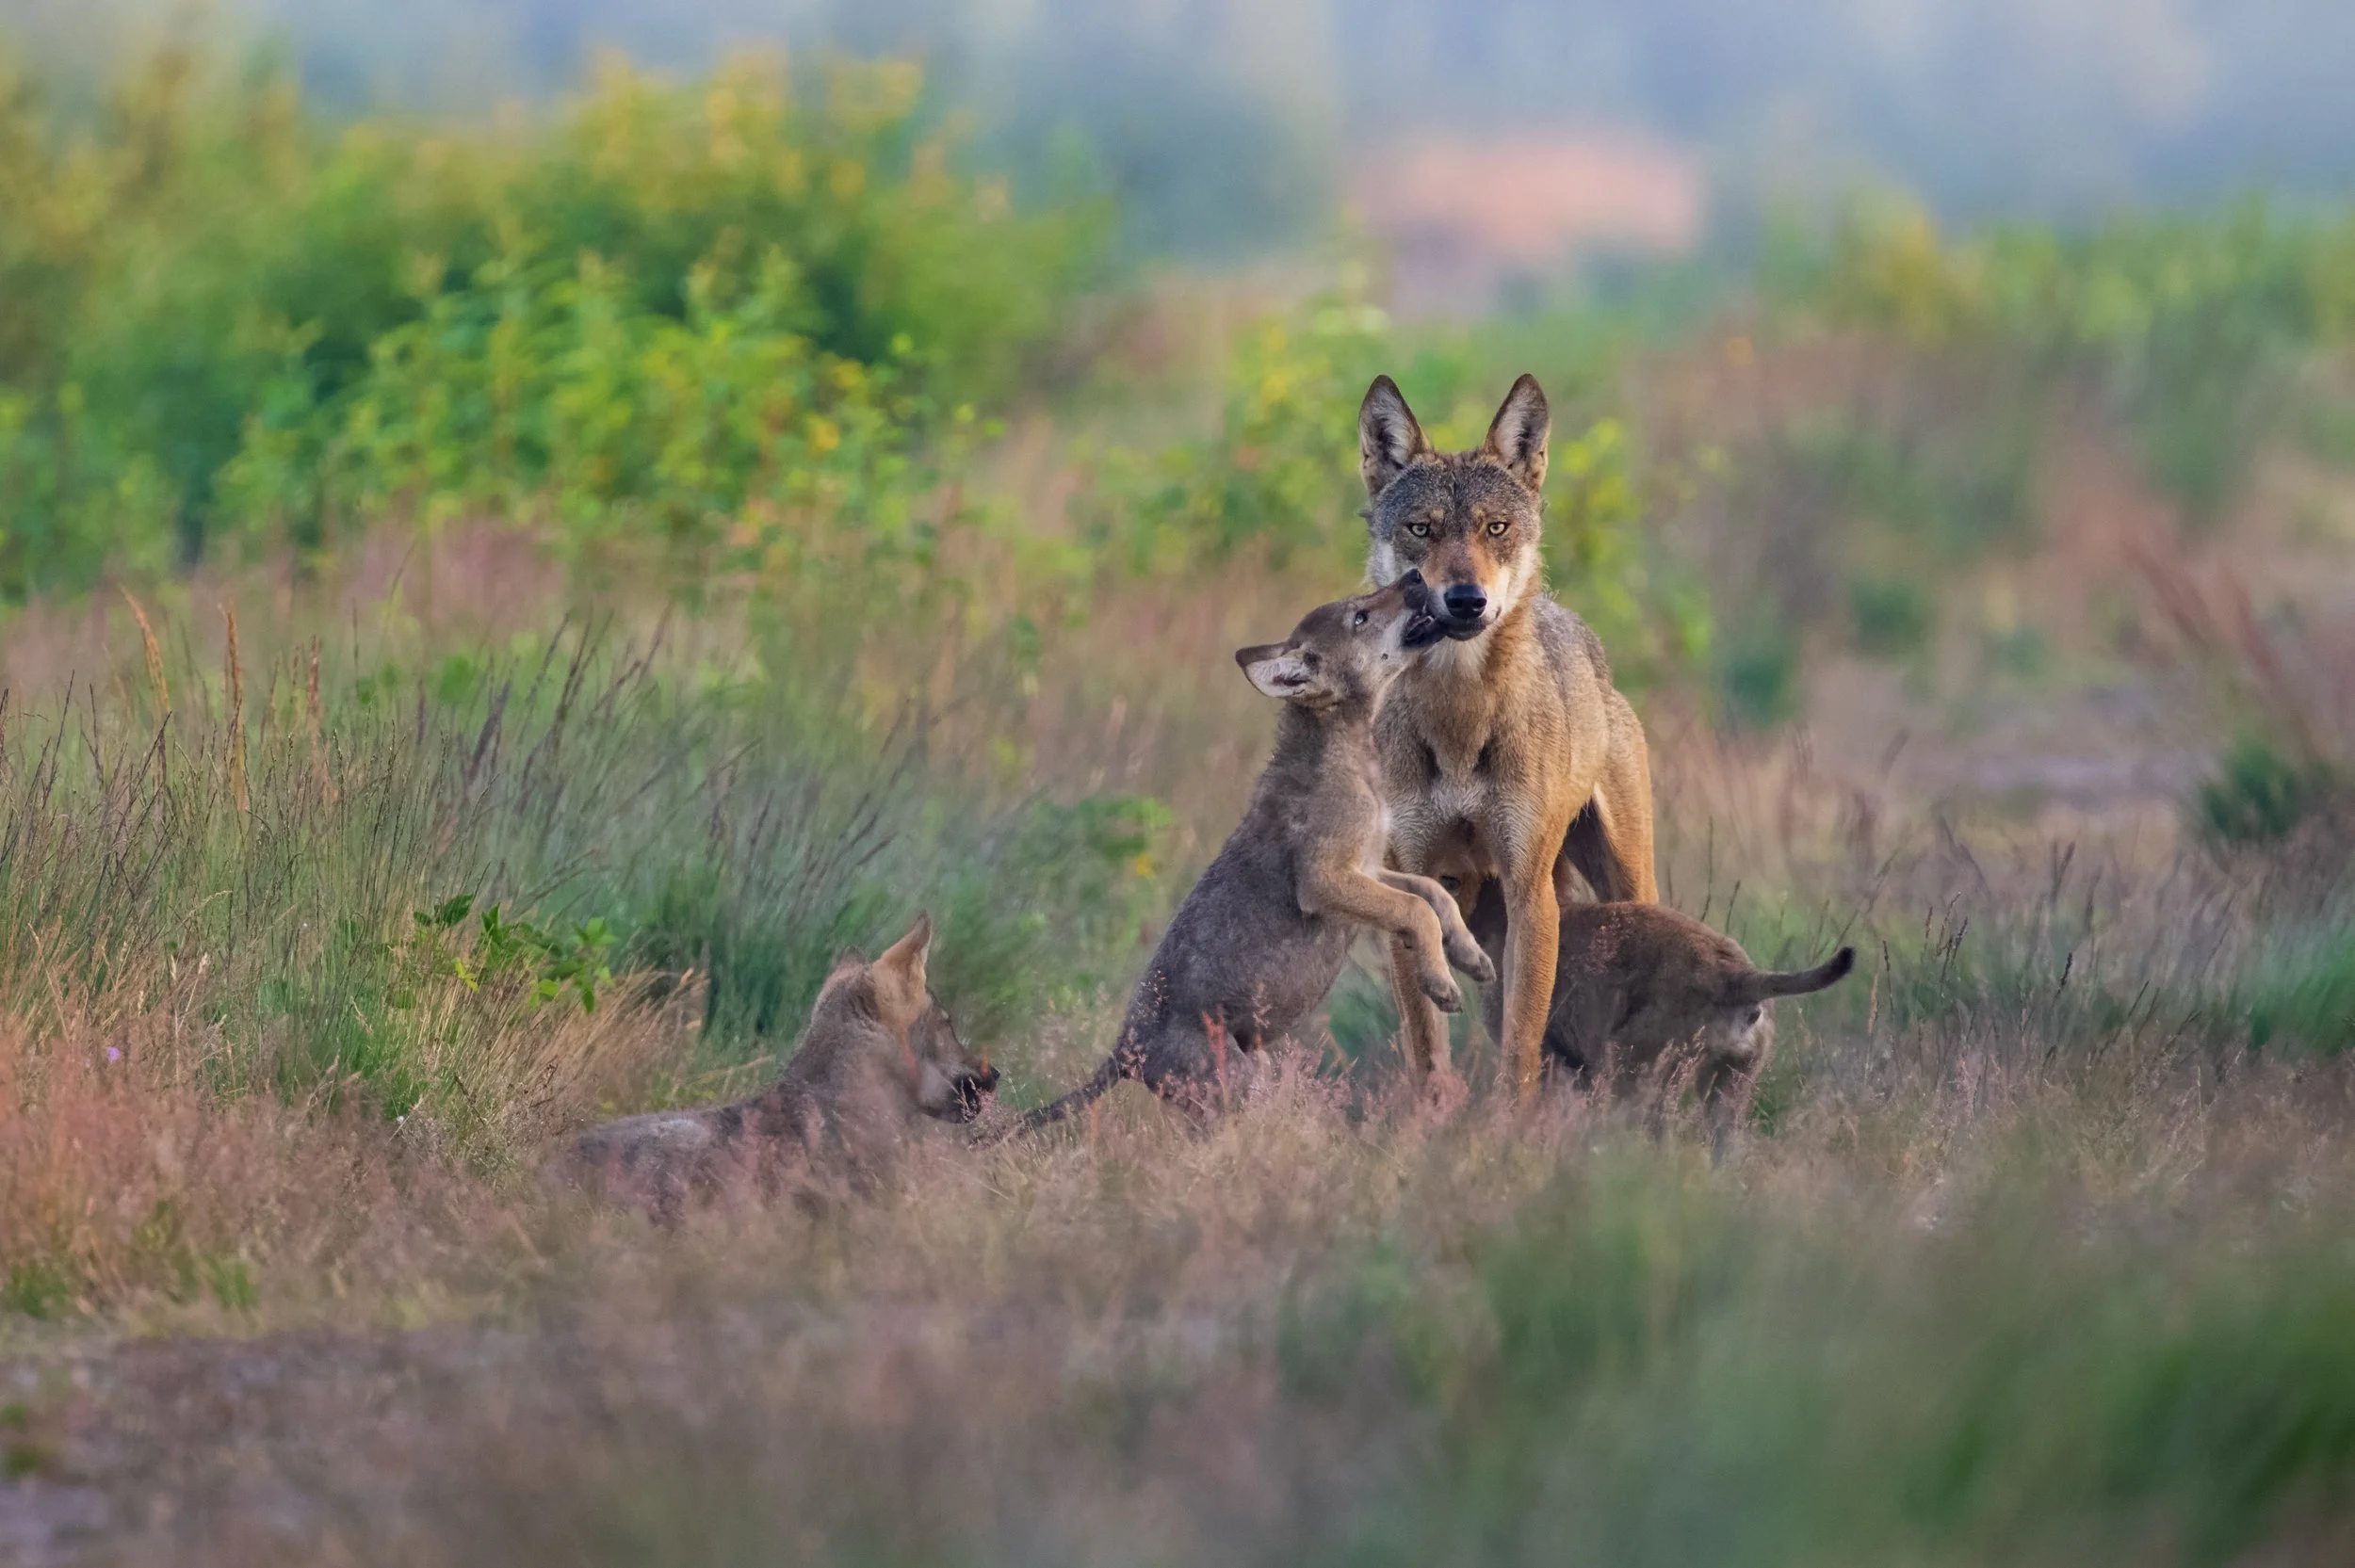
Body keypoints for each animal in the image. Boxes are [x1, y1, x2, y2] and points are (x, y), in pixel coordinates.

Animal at [1018, 571, 1494, 1132]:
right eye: (1359, 616)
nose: (1416, 576)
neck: (1354, 757)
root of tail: (1124, 1054)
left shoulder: (1369, 866)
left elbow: (1431, 895)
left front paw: (1471, 957)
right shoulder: (1325, 880)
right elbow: (1416, 908)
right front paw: (1441, 985)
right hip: (1241, 1094)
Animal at [1356, 372, 1658, 1102]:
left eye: (1496, 527)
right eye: (1421, 528)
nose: (1466, 599)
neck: (1461, 722)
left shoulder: (1529, 892)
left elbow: (1520, 1047)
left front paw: (1507, 1126)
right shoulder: (1411, 890)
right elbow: (1427, 1049)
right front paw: (1433, 1119)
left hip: (1626, 882)